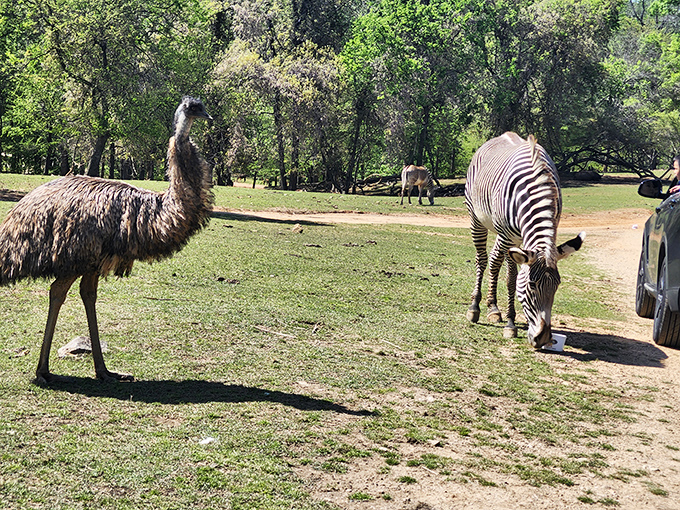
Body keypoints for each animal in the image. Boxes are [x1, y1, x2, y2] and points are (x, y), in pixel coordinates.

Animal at [464, 132, 585, 348]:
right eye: (532, 285)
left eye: (557, 286)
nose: (543, 338)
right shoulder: (508, 237)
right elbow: (511, 279)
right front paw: (511, 324)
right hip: (478, 220)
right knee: (483, 260)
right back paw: (475, 307)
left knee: (495, 261)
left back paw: (493, 308)